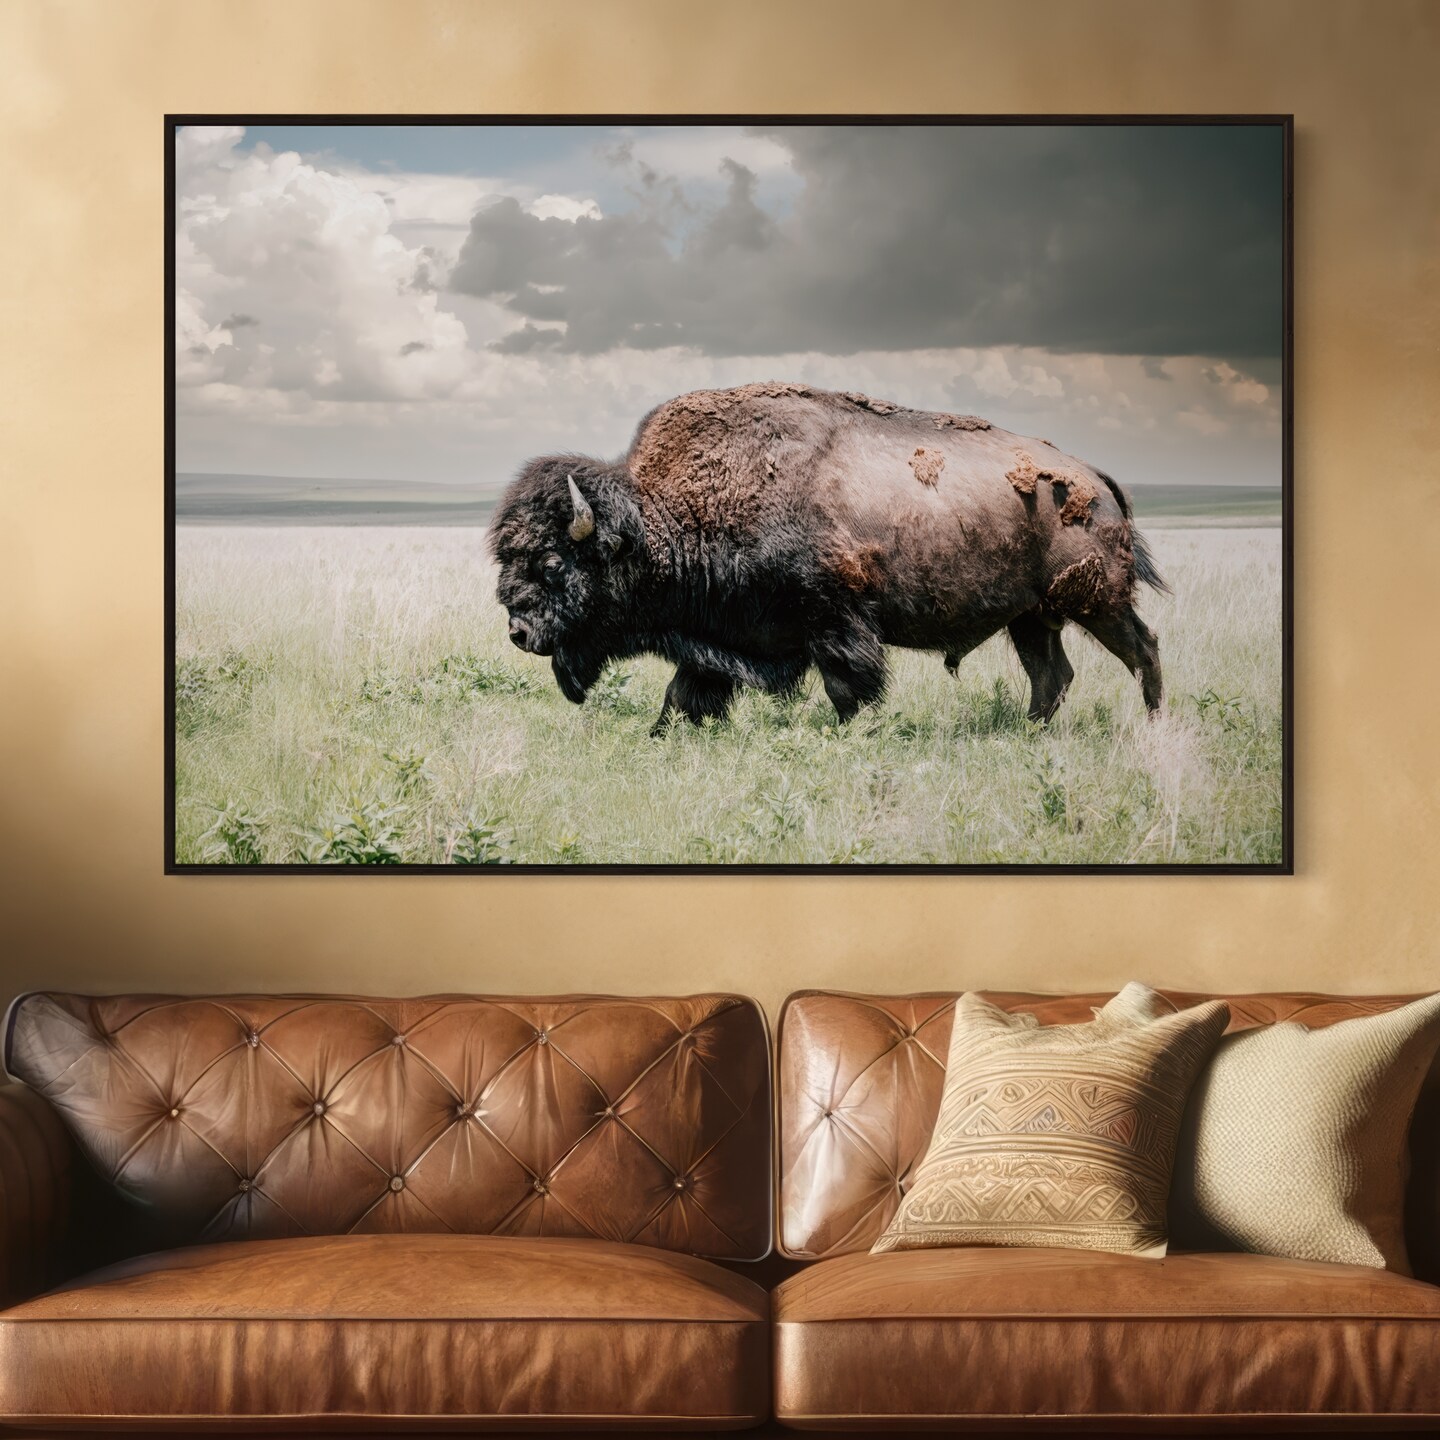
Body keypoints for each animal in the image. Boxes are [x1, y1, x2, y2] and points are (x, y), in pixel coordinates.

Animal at [489, 382, 1167, 734]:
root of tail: (1096, 479)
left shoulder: (835, 624)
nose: (519, 631)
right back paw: (1028, 734)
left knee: (1142, 651)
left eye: (552, 563)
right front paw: (665, 736)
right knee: (1051, 675)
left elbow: (850, 687)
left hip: (1098, 602)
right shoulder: (715, 638)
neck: (664, 518)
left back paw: (1154, 725)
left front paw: (850, 733)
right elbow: (687, 693)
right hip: (1030, 618)